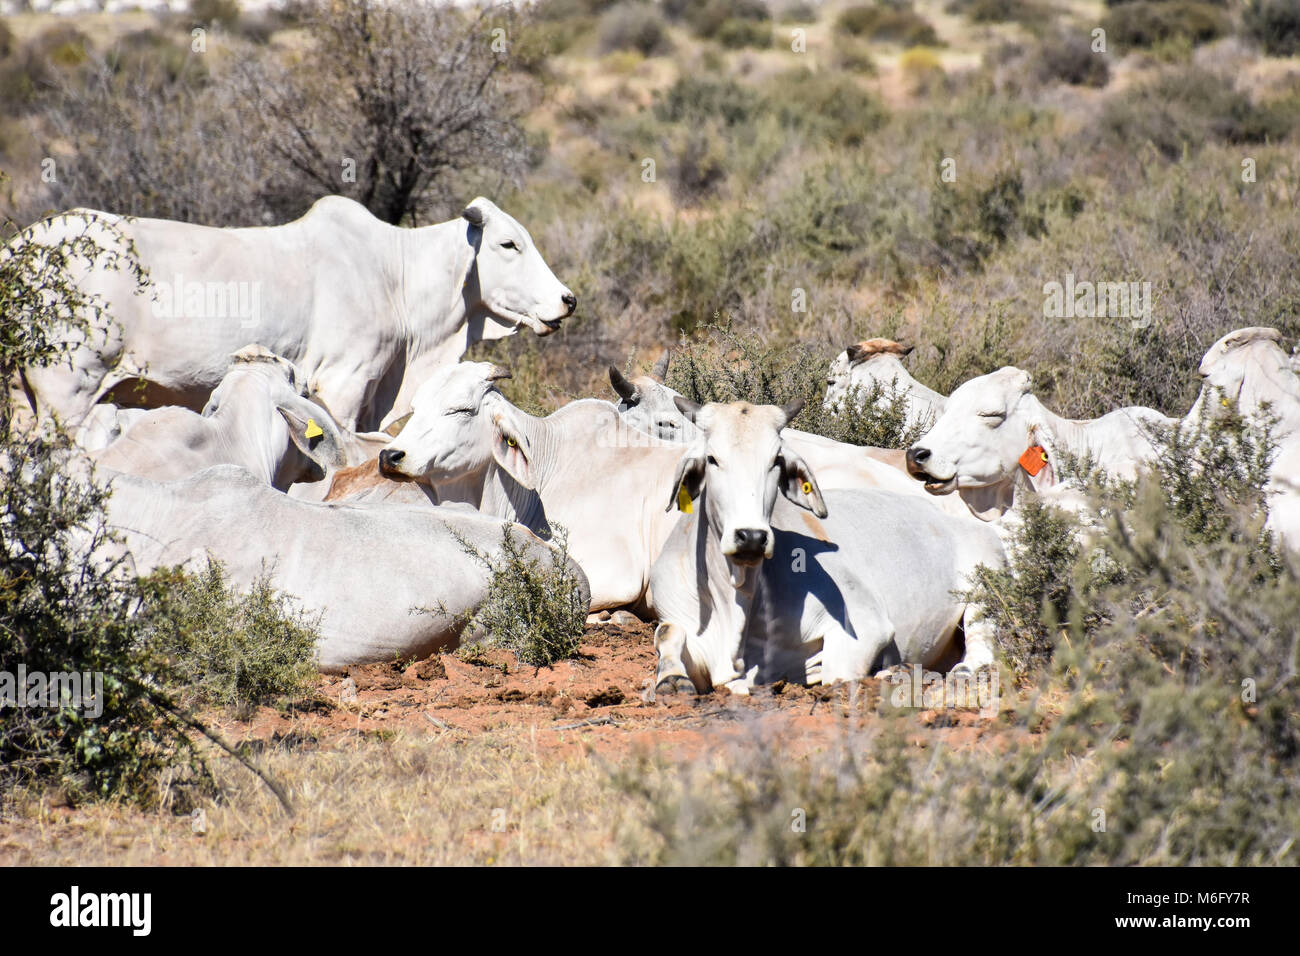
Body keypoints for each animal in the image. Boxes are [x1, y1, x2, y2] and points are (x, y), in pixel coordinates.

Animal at [648, 398, 1005, 695]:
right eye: (712, 458)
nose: (751, 537)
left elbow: (835, 671)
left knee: (981, 643)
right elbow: (667, 633)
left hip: (985, 588)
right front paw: (671, 679)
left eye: (776, 460)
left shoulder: (866, 624)